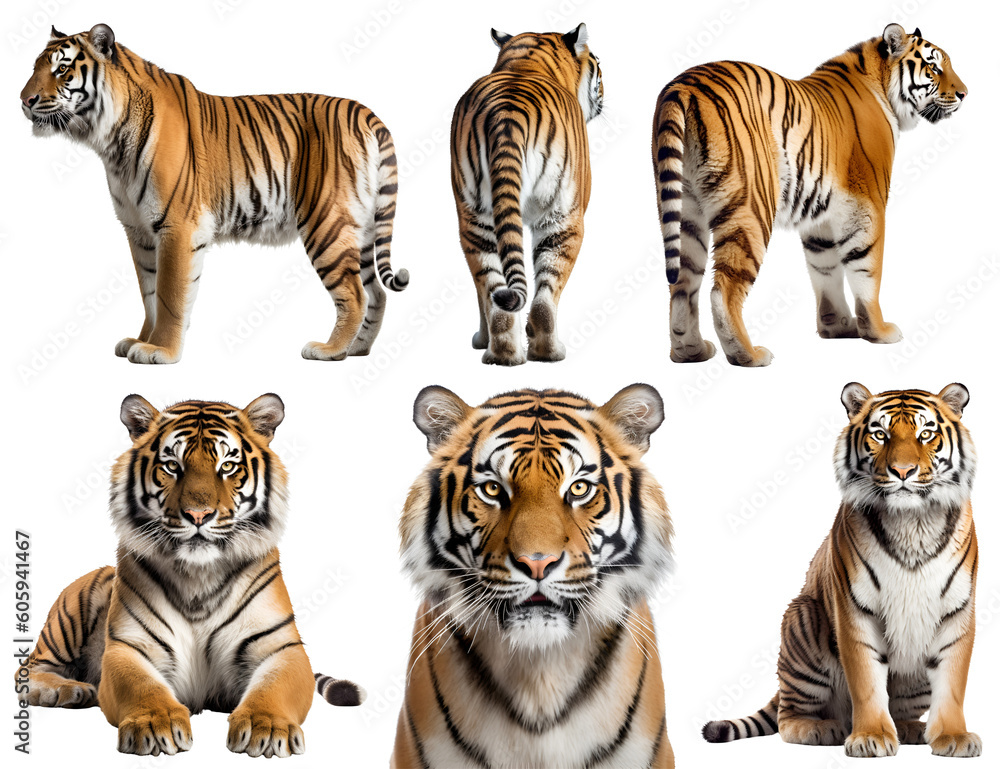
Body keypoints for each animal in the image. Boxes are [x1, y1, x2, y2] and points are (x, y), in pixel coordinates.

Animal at [16, 395, 364, 757]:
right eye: (172, 466)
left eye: (227, 466)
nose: (198, 515)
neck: (199, 575)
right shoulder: (128, 646)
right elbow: (143, 686)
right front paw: (155, 724)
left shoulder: (281, 646)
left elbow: (273, 688)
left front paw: (266, 726)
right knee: (28, 668)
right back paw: (72, 690)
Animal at [19, 24, 407, 364]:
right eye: (36, 66)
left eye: (62, 69)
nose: (24, 100)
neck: (111, 143)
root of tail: (365, 112)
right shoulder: (138, 231)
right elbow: (149, 292)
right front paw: (141, 340)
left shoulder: (176, 225)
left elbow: (169, 292)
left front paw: (159, 351)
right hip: (361, 230)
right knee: (377, 292)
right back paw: (357, 349)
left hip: (326, 222)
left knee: (355, 293)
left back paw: (330, 350)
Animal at [451, 24, 603, 366]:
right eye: (598, 64)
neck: (526, 61)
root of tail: (508, 117)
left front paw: (482, 340)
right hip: (562, 217)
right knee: (546, 295)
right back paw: (549, 351)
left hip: (476, 218)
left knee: (495, 291)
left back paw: (503, 354)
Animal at [652, 24, 967, 367]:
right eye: (934, 68)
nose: (964, 93)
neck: (882, 85)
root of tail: (684, 85)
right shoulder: (868, 204)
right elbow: (867, 270)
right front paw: (878, 331)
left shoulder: (822, 216)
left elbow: (825, 270)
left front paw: (837, 327)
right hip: (751, 206)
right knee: (723, 290)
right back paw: (748, 354)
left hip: (687, 210)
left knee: (682, 285)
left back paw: (690, 351)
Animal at [704, 384, 980, 758]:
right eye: (880, 434)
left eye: (926, 434)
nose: (903, 471)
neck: (911, 522)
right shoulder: (854, 609)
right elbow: (866, 682)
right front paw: (871, 738)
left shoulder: (957, 611)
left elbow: (952, 683)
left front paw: (953, 737)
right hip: (802, 620)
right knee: (787, 716)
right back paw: (821, 728)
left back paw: (909, 728)